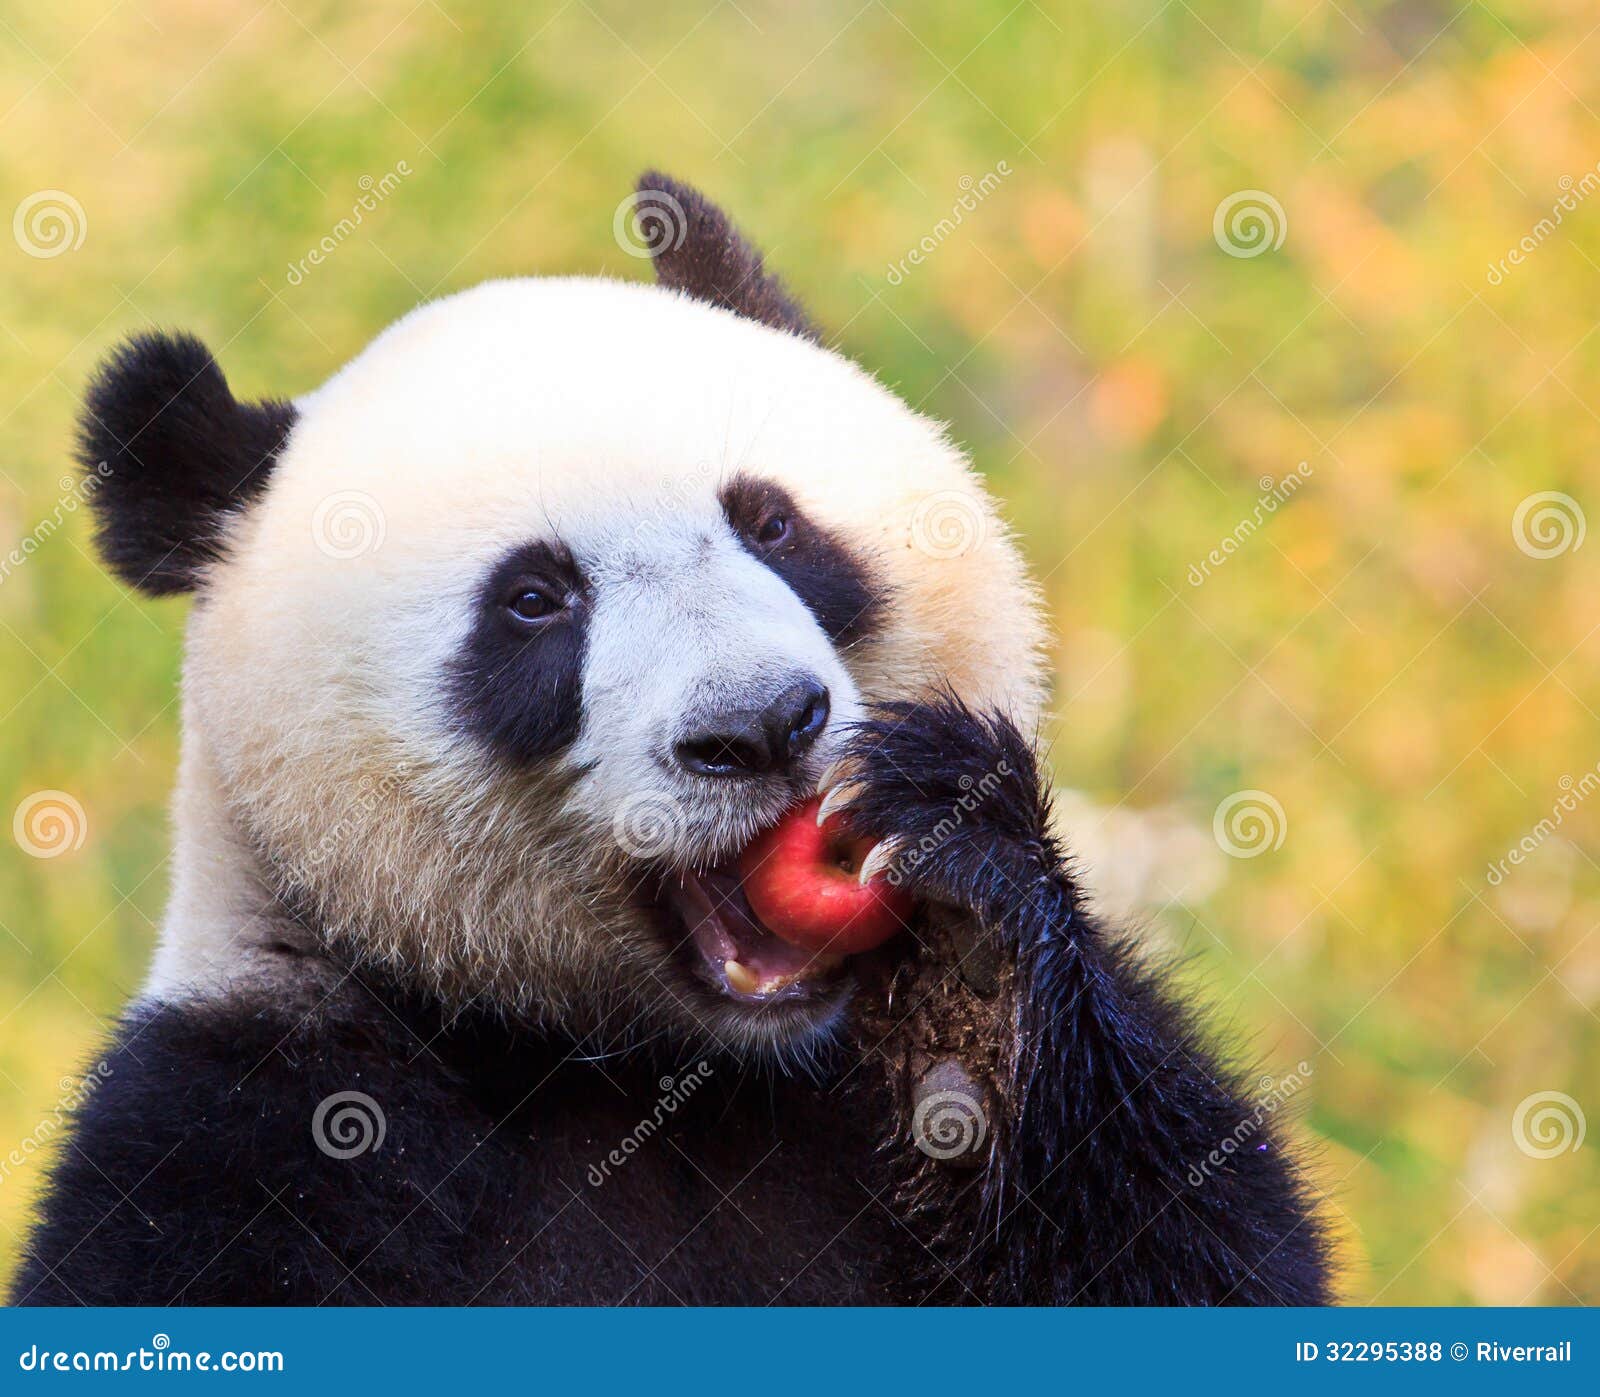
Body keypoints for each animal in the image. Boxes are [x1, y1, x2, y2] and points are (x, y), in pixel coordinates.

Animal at [11, 173, 1331, 1306]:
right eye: (534, 600)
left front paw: (967, 953)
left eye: (773, 523)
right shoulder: (255, 1127)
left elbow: (1198, 1245)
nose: (761, 724)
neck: (674, 1071)